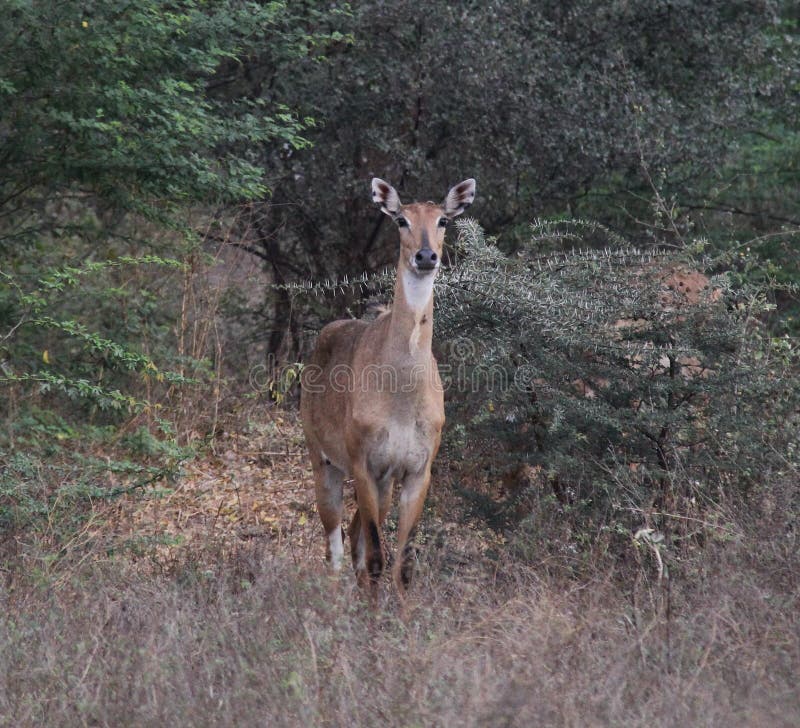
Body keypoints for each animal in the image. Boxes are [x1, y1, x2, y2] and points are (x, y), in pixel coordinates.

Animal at [300, 177, 476, 598]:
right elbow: (376, 557)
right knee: (334, 543)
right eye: (400, 220)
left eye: (443, 219)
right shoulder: (365, 462)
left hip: (380, 483)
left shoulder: (416, 469)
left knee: (353, 536)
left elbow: (402, 564)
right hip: (322, 457)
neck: (401, 396)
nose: (426, 256)